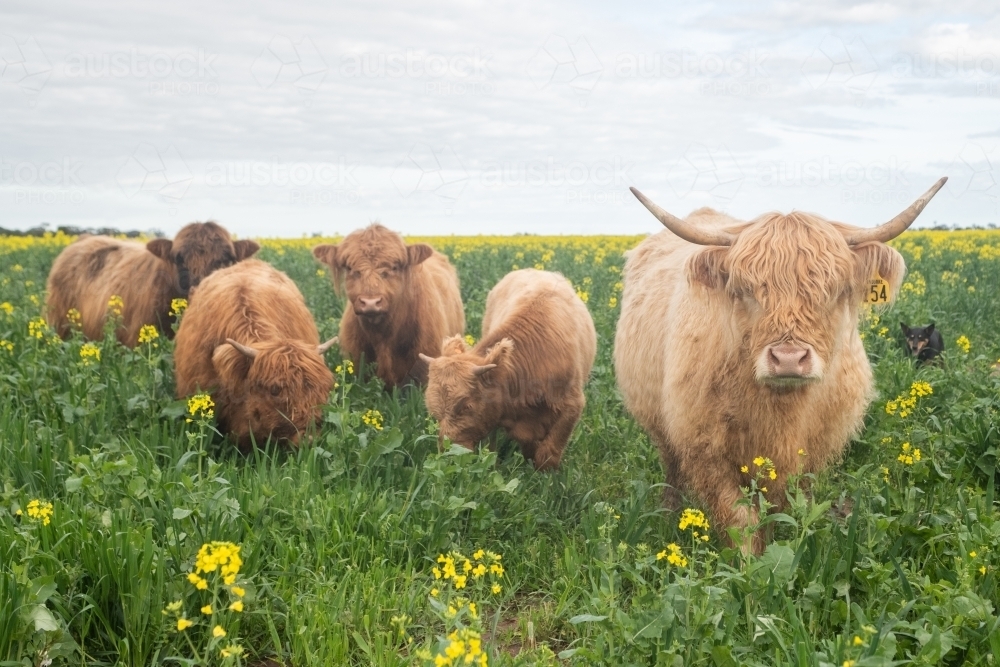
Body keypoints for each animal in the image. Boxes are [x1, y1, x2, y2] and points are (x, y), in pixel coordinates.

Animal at [614, 178, 947, 553]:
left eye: (834, 291)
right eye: (746, 290)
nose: (788, 359)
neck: (781, 410)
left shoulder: (807, 458)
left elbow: (777, 514)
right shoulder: (705, 450)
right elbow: (740, 522)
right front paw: (748, 565)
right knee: (671, 467)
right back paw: (669, 513)